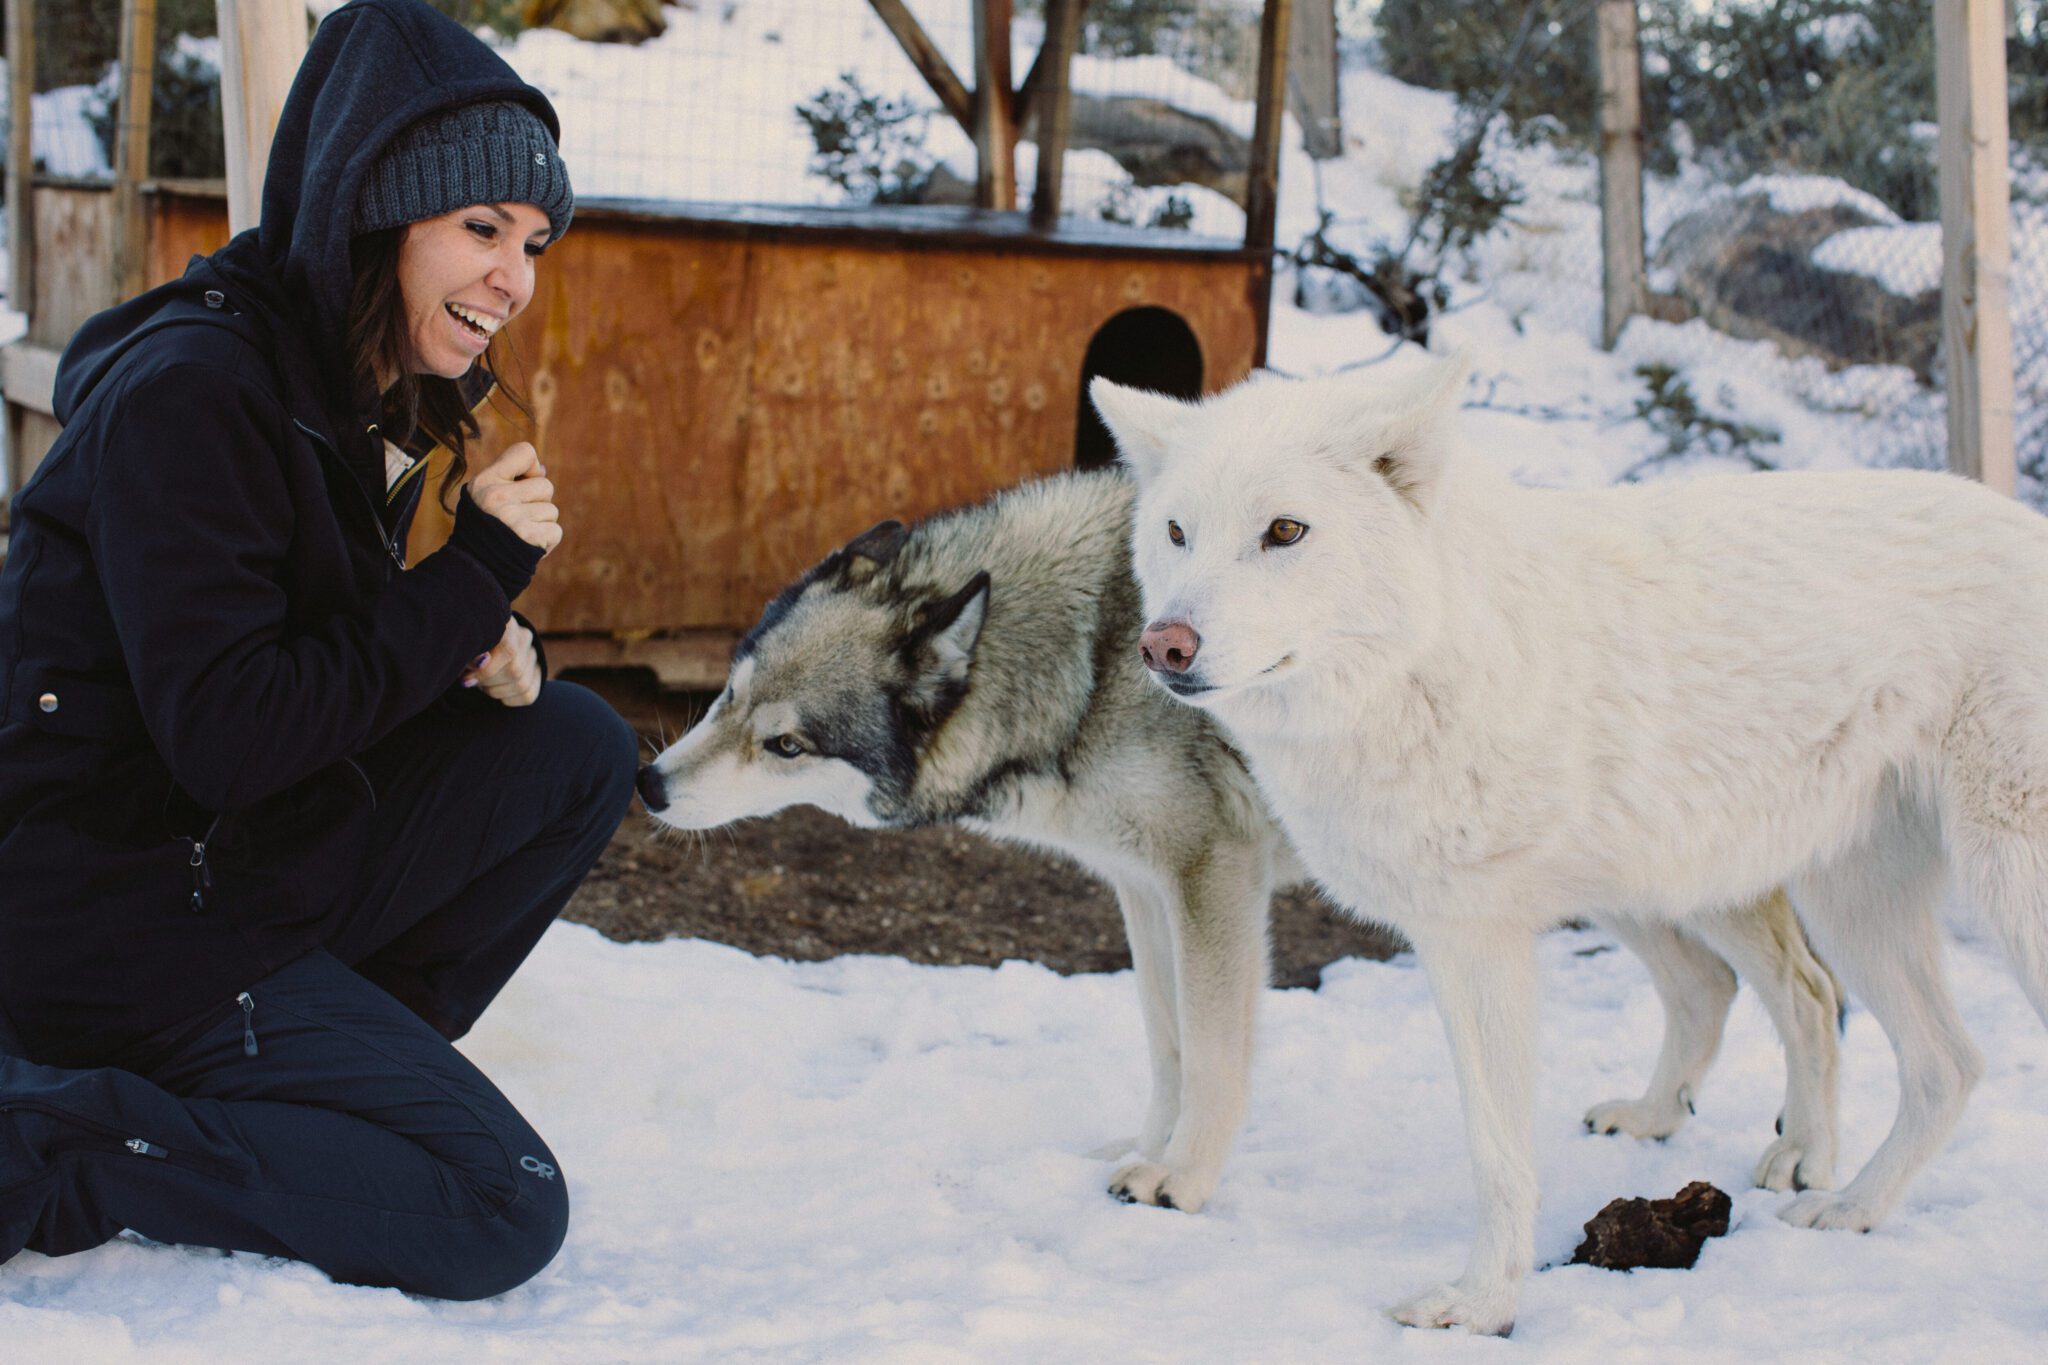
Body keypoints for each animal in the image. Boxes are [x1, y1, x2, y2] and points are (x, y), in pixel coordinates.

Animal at [634, 471, 1841, 1218]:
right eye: (728, 696)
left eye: (786, 743)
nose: (646, 784)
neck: (1086, 653)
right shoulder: (1140, 889)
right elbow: (1167, 1046)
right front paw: (1143, 1147)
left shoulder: (1212, 879)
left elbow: (1215, 1052)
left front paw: (1182, 1182)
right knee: (1706, 990)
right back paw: (1651, 1118)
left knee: (1810, 991)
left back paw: (1804, 1158)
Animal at [1095, 354, 2048, 1334]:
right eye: (1177, 531)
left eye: (1285, 530)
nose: (1165, 645)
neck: (1426, 665)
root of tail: (2027, 522)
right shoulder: (1449, 938)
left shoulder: (1482, 943)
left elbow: (1496, 1154)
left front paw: (1480, 1306)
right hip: (1811, 900)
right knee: (1936, 1058)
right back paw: (1844, 1204)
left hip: (1987, 893)